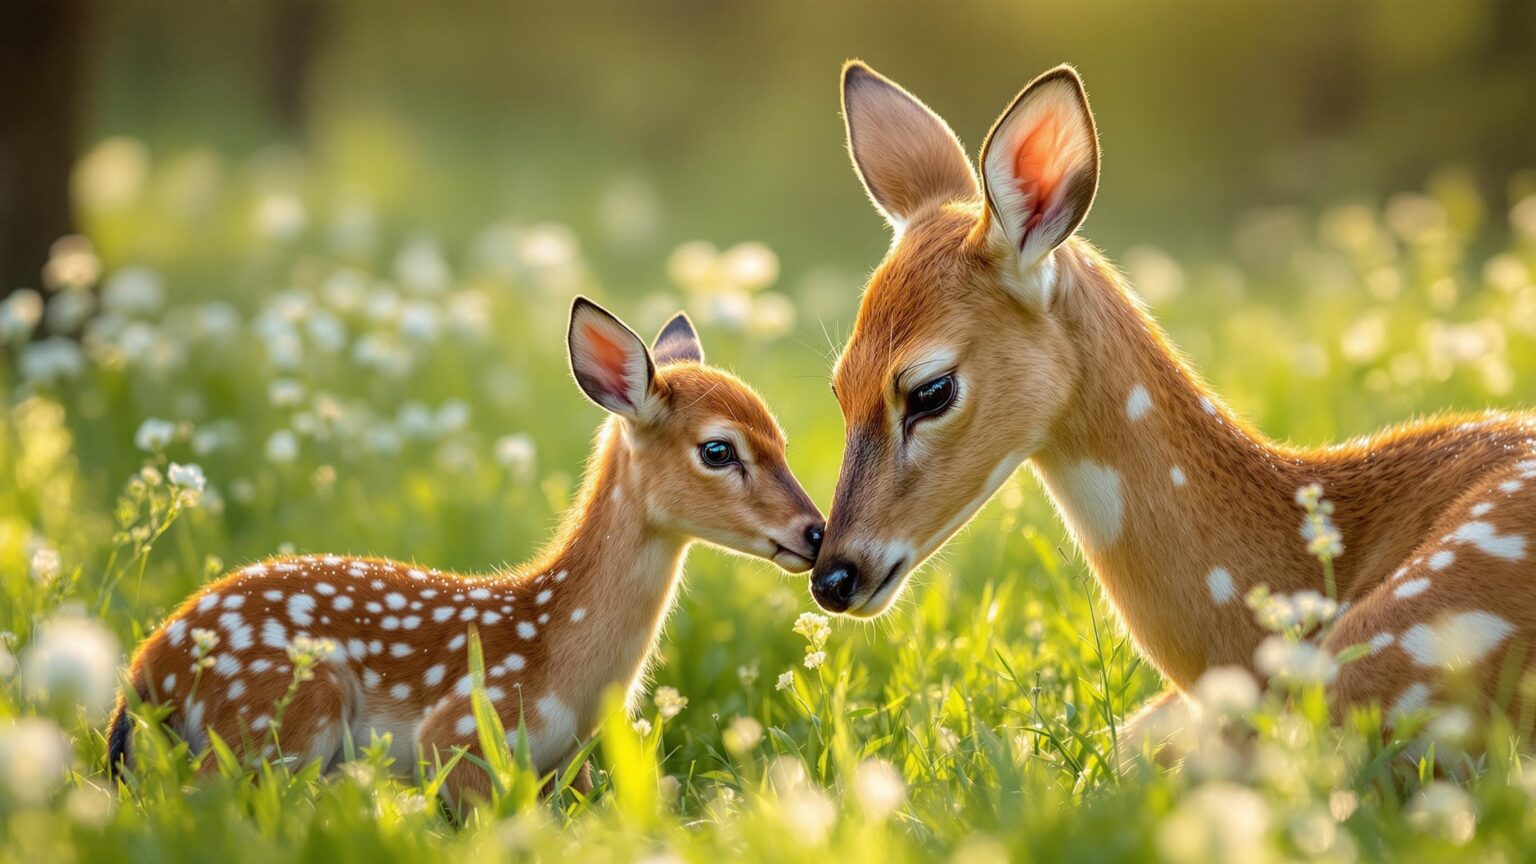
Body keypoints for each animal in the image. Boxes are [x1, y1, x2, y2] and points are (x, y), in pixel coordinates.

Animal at [107, 297, 825, 802]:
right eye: (718, 449)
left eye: (783, 439)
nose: (816, 532)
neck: (558, 660)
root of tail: (145, 673)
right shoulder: (459, 735)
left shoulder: (571, 768)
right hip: (285, 712)